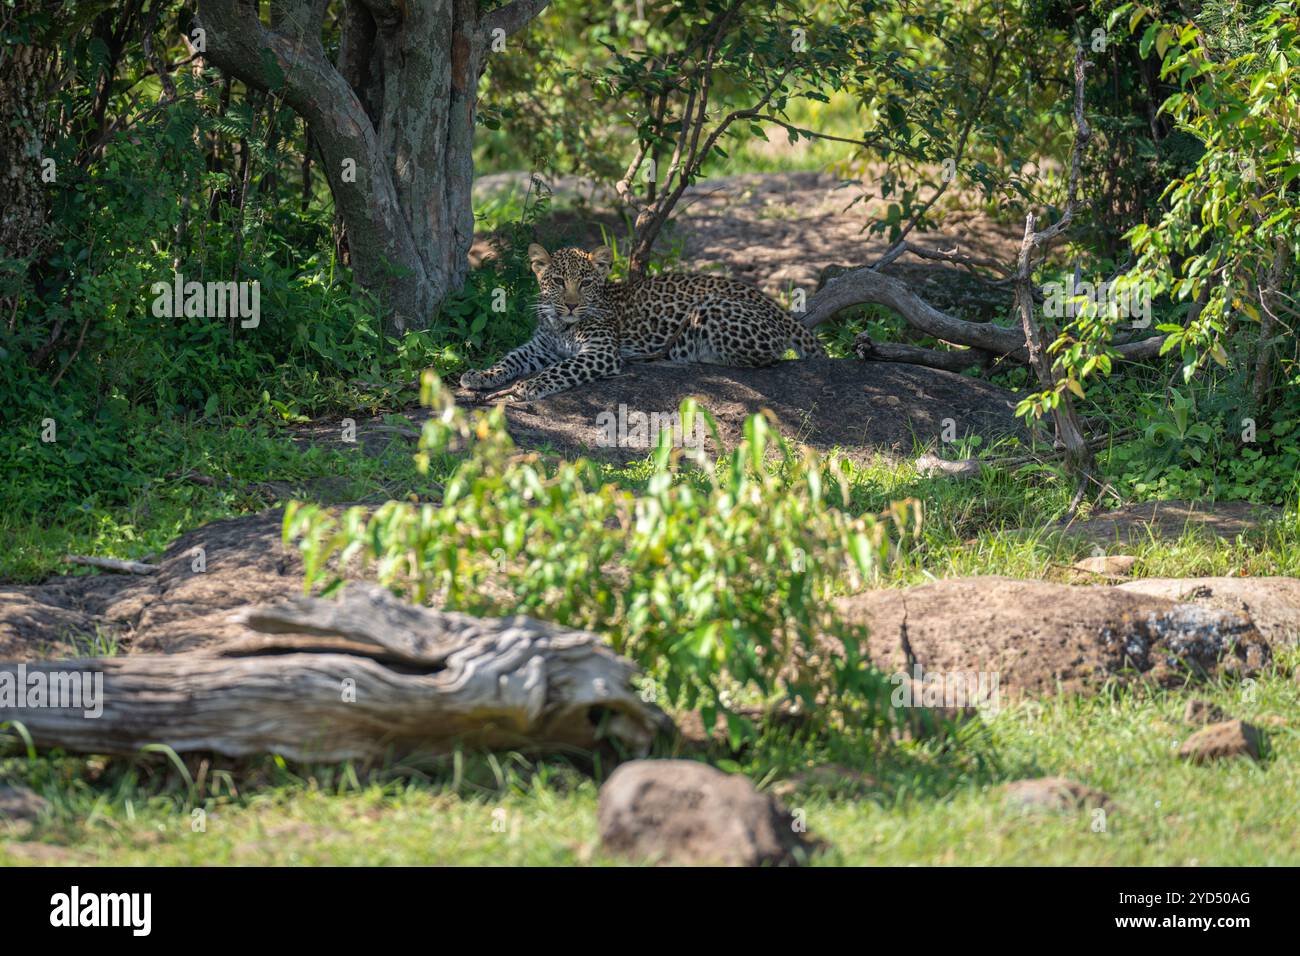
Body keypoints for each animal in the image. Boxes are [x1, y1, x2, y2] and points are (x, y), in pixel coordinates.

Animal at [459, 243, 825, 401]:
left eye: (586, 282)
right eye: (559, 281)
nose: (572, 305)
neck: (562, 326)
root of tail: (776, 306)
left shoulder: (601, 353)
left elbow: (561, 369)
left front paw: (531, 385)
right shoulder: (540, 347)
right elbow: (510, 358)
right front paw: (480, 375)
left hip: (711, 307)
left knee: (763, 357)